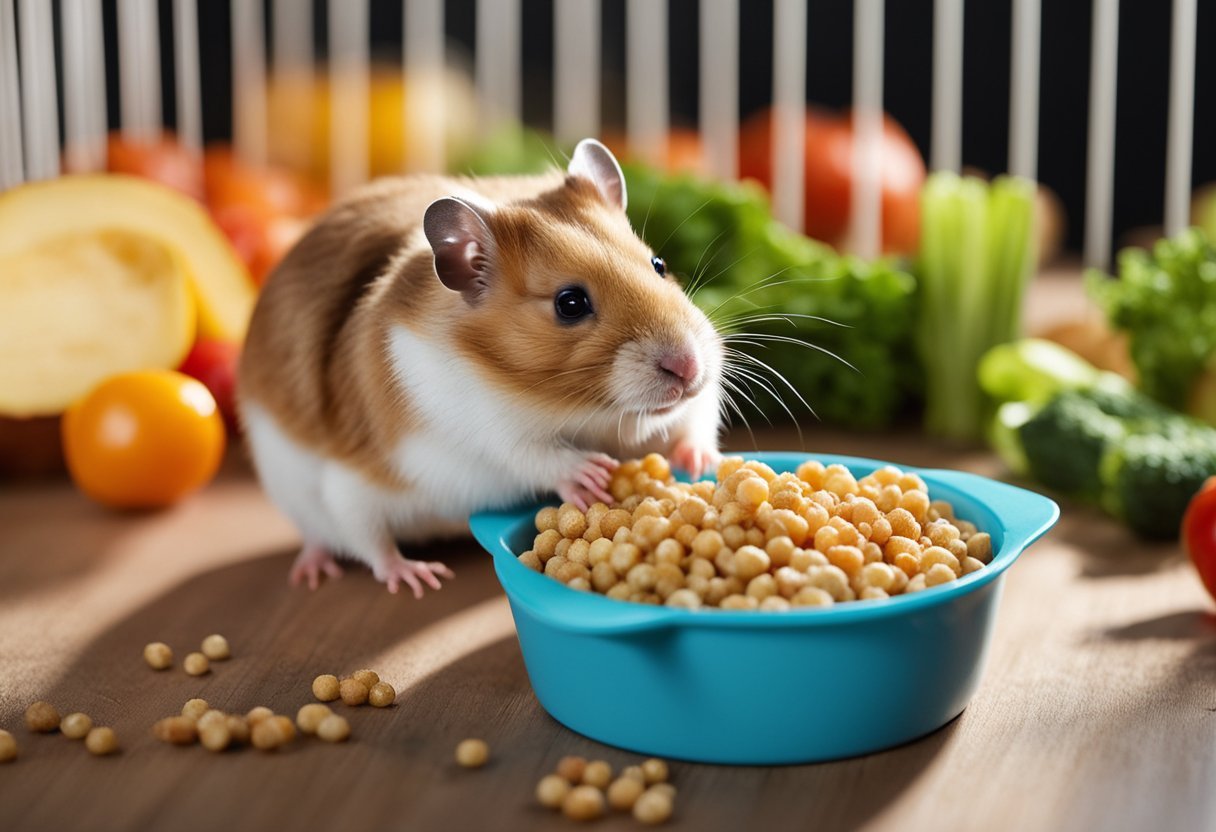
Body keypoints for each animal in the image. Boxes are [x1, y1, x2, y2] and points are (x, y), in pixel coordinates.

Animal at [237, 139, 724, 596]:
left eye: (659, 264)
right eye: (570, 304)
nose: (688, 367)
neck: (574, 407)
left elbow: (694, 419)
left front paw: (701, 461)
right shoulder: (475, 428)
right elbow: (528, 453)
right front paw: (592, 475)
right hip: (334, 492)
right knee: (360, 540)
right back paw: (395, 574)